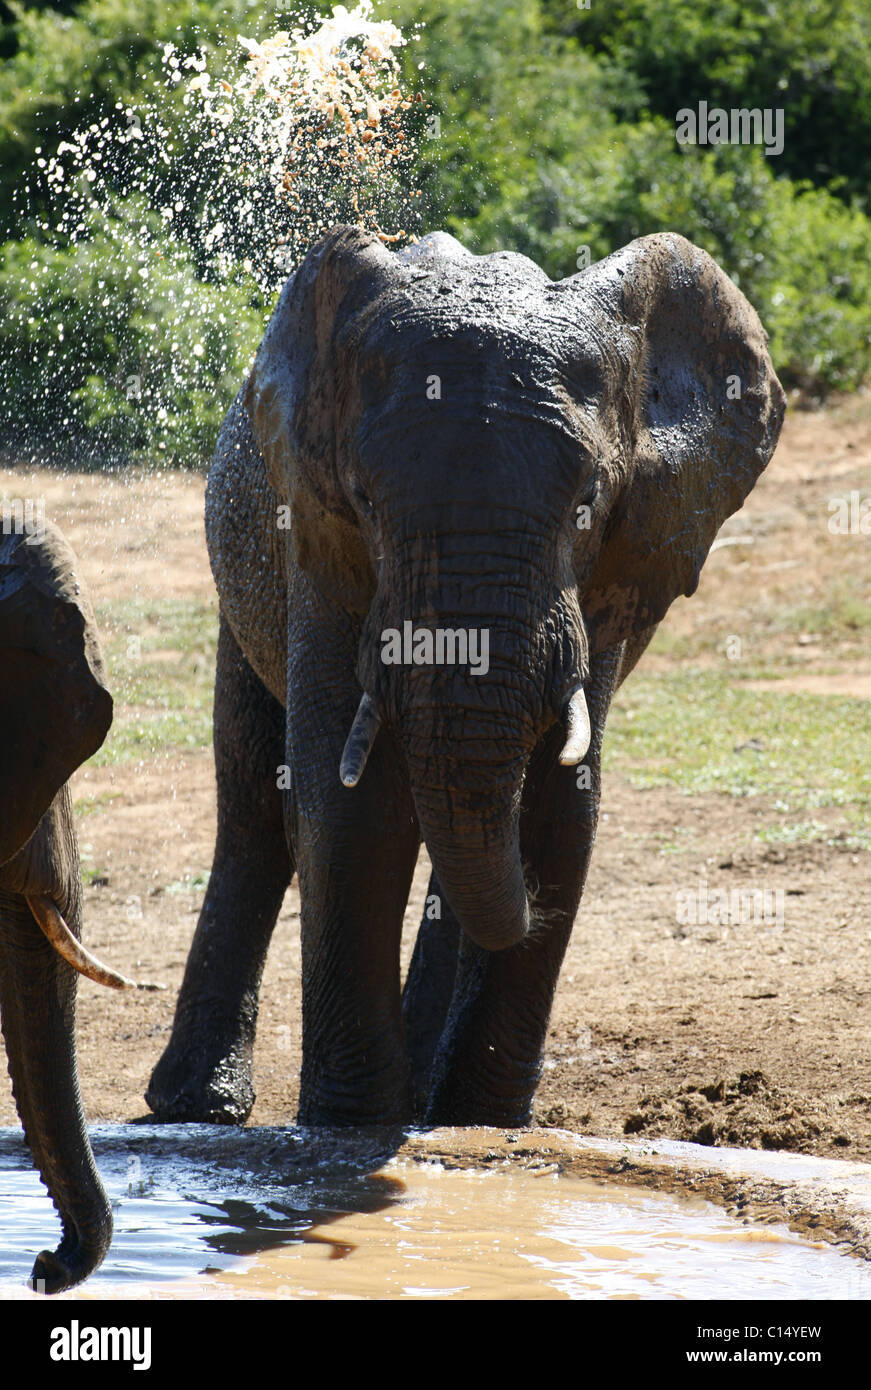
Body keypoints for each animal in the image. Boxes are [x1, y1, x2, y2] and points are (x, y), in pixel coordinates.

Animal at [147, 225, 785, 1130]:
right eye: (365, 501)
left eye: (588, 503)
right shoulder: (318, 539)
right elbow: (344, 802)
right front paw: (349, 1125)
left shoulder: (618, 569)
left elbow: (560, 810)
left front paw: (481, 1122)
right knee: (254, 807)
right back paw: (198, 1106)